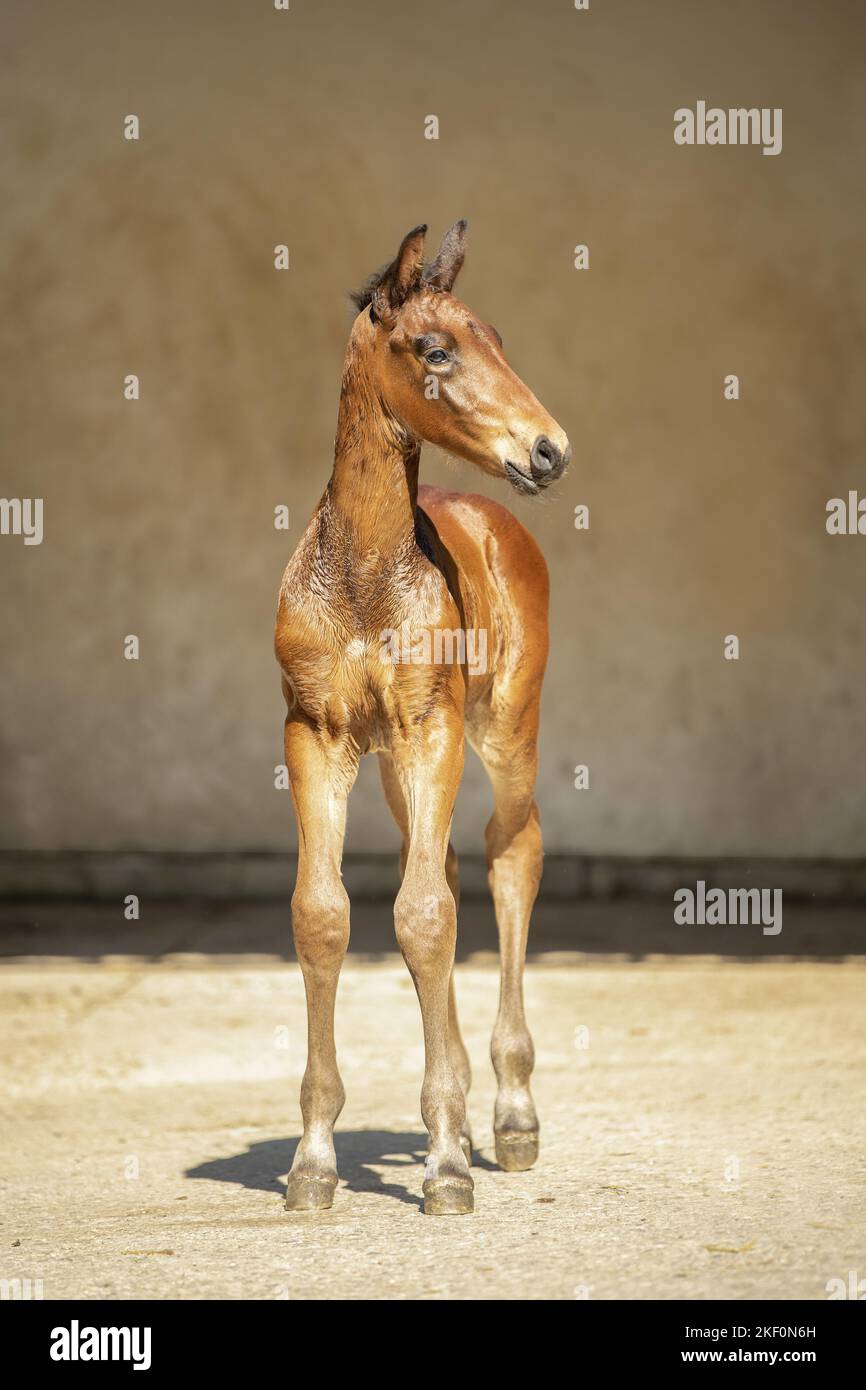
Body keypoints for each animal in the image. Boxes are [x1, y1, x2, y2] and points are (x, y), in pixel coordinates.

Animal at [274, 221, 570, 1215]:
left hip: (504, 725)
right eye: (435, 350)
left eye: (501, 340)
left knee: (511, 851)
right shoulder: (315, 733)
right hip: (400, 768)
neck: (367, 574)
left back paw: (510, 1116)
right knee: (436, 865)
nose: (549, 449)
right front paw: (314, 1161)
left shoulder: (428, 725)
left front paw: (445, 1163)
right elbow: (327, 914)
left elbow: (427, 916)